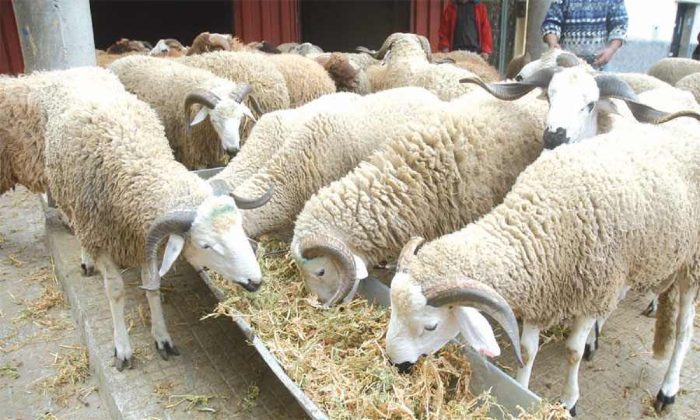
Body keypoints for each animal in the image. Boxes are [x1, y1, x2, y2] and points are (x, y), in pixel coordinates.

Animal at [39, 68, 273, 370]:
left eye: (239, 229)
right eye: (206, 245)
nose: (256, 281)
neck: (137, 169)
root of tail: (76, 69)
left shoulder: (141, 240)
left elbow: (152, 285)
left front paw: (161, 337)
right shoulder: (103, 237)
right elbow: (115, 292)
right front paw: (122, 348)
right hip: (69, 195)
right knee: (75, 222)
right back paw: (86, 259)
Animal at [385, 125, 700, 415]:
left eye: (430, 326)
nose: (396, 365)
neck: (540, 221)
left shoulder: (594, 292)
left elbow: (573, 351)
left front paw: (569, 401)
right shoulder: (541, 289)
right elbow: (527, 351)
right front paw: (521, 389)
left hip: (692, 265)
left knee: (684, 330)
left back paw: (668, 389)